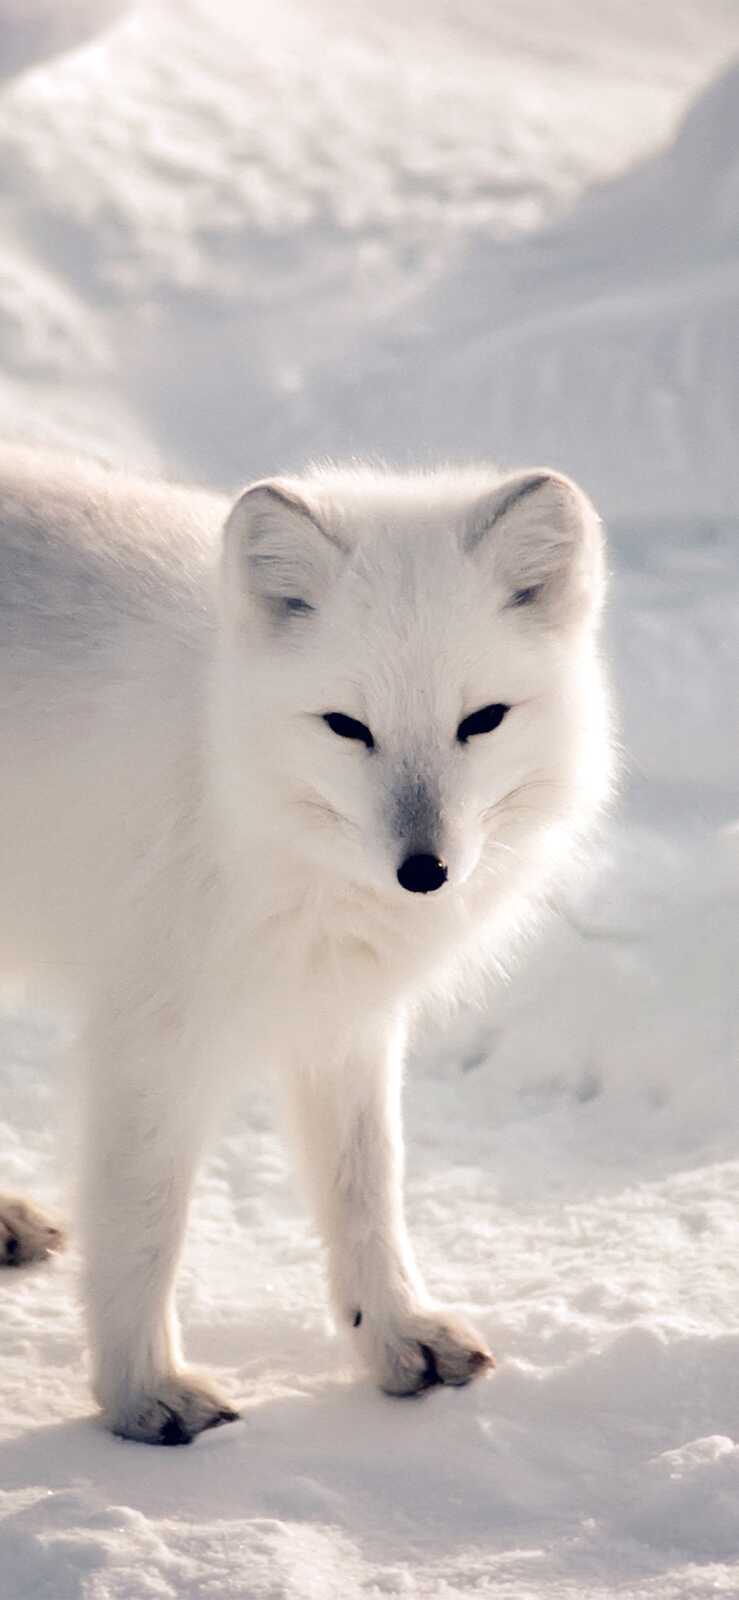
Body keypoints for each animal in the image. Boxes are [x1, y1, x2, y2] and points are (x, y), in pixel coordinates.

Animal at [0, 445, 611, 1444]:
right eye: (346, 726)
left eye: (481, 720)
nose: (424, 872)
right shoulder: (151, 1034)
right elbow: (144, 1221)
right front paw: (142, 1394)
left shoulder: (343, 1017)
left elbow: (366, 1186)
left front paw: (395, 1336)